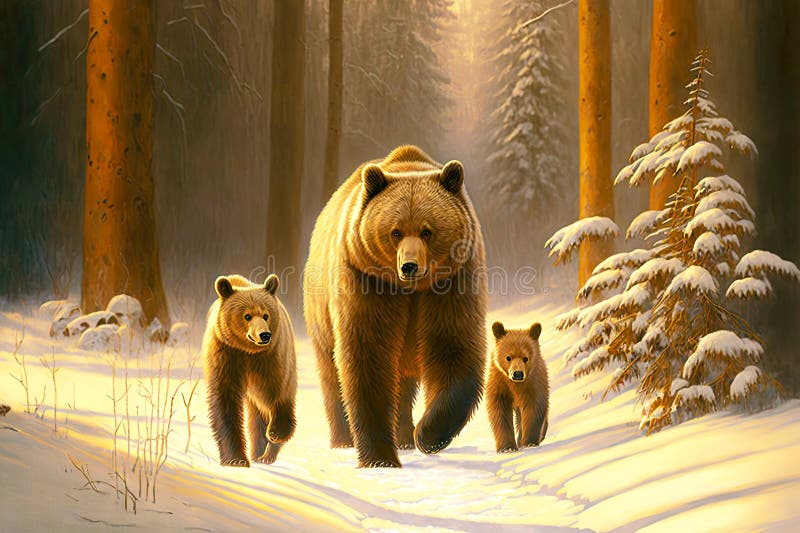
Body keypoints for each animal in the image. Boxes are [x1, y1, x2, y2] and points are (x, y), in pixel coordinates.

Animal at [202, 274, 297, 467]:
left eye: (266, 315)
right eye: (247, 316)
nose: (264, 335)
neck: (247, 350)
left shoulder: (272, 355)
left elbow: (276, 391)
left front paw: (276, 433)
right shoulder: (225, 353)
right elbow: (225, 401)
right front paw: (235, 459)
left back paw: (267, 454)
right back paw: (258, 453)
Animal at [304, 144, 488, 468]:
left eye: (427, 231)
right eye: (395, 231)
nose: (409, 266)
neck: (411, 291)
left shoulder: (452, 283)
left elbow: (454, 348)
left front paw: (427, 434)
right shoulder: (367, 282)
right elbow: (367, 356)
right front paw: (379, 457)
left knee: (403, 384)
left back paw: (404, 436)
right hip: (321, 314)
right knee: (331, 373)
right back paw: (343, 439)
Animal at [486, 321, 549, 453]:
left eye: (526, 358)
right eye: (508, 357)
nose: (518, 374)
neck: (516, 386)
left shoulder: (534, 384)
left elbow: (533, 410)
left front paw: (528, 442)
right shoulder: (500, 385)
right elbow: (500, 413)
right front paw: (507, 447)